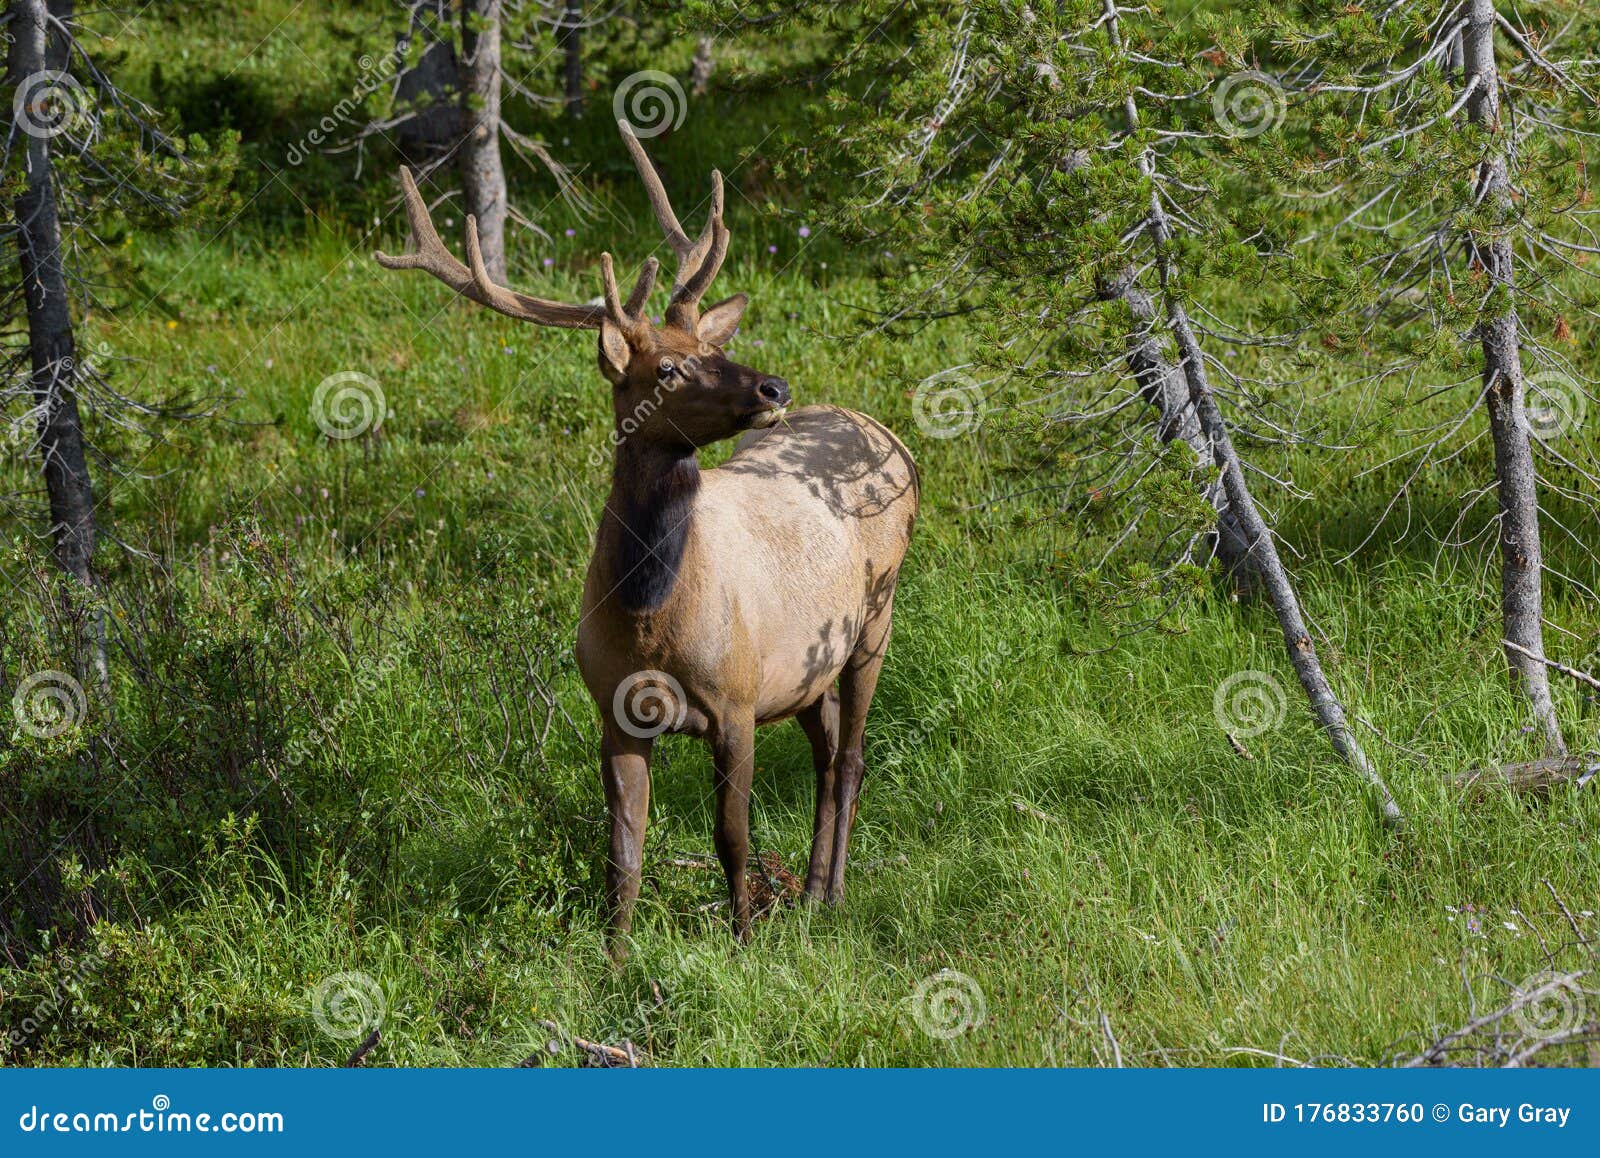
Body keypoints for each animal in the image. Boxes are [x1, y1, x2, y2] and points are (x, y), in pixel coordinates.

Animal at [375, 121, 917, 951]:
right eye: (664, 369)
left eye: (714, 350)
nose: (773, 386)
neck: (650, 616)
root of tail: (891, 437)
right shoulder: (615, 711)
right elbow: (622, 854)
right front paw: (615, 957)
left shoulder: (737, 699)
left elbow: (732, 838)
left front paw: (743, 943)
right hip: (807, 669)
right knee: (828, 753)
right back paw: (814, 893)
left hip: (876, 620)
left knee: (853, 756)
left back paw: (832, 894)